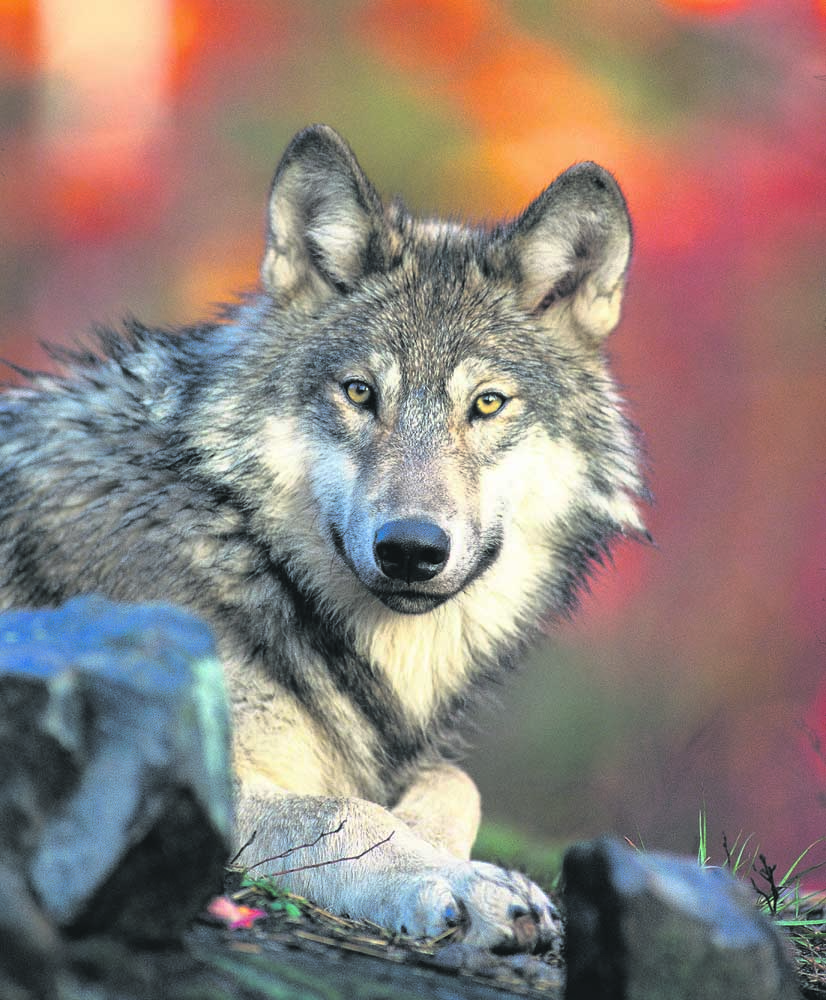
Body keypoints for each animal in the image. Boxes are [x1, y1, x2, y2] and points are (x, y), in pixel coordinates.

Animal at [0, 125, 645, 952]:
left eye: (487, 404)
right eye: (361, 393)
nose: (411, 548)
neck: (244, 546)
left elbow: (455, 782)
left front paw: (441, 846)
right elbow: (345, 811)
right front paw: (463, 883)